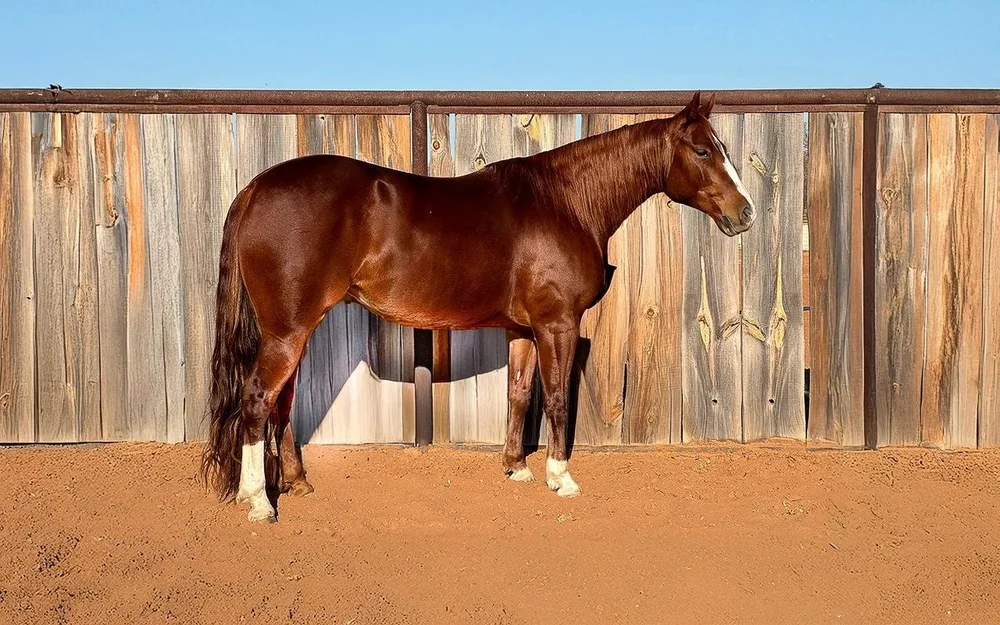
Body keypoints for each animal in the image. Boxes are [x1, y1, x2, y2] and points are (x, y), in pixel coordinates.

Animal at [200, 91, 756, 523]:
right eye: (703, 150)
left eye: (724, 149)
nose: (745, 214)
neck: (566, 202)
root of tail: (254, 188)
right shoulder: (557, 324)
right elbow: (557, 399)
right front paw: (561, 477)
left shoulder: (523, 330)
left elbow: (519, 394)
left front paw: (516, 466)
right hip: (286, 332)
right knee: (257, 400)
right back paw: (260, 501)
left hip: (294, 330)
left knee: (283, 404)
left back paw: (296, 483)